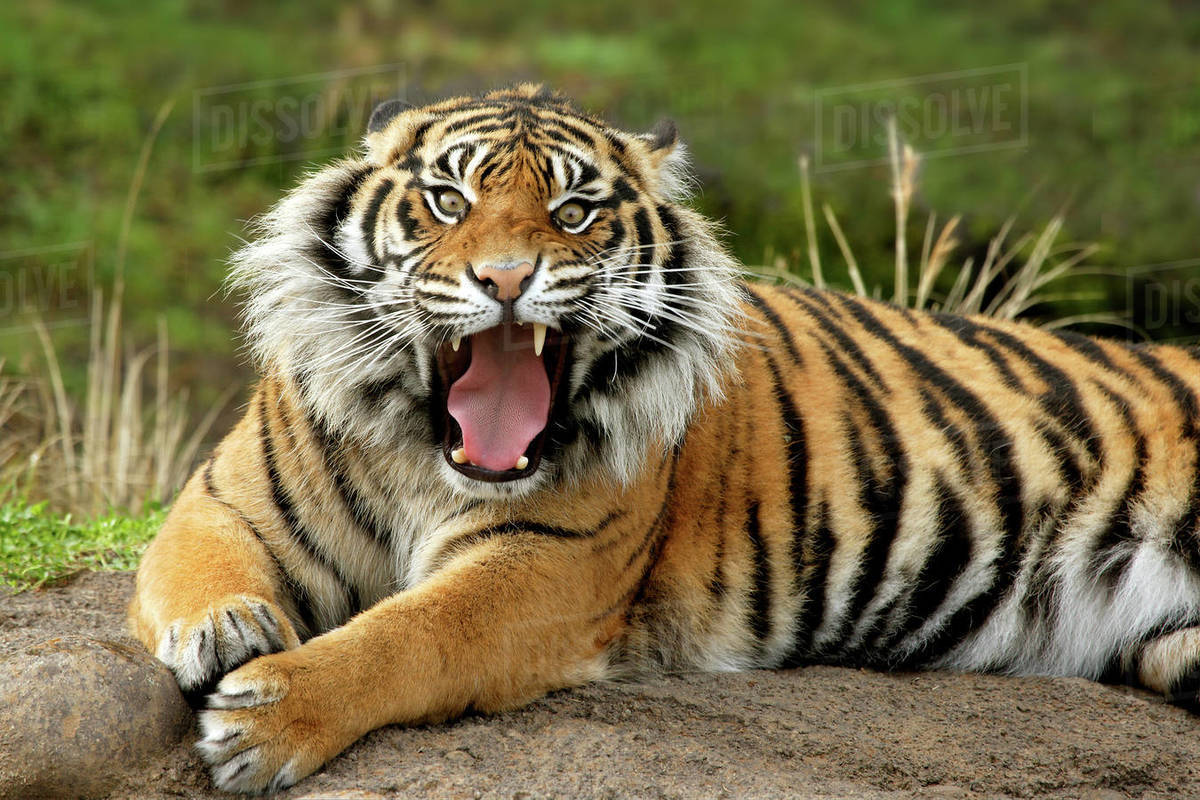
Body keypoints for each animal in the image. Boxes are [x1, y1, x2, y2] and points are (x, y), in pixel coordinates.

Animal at [128, 84, 1200, 794]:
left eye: (573, 212)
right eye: (449, 201)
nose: (506, 279)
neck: (422, 451)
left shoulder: (543, 567)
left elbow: (407, 635)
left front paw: (270, 720)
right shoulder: (224, 499)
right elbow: (199, 568)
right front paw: (225, 630)